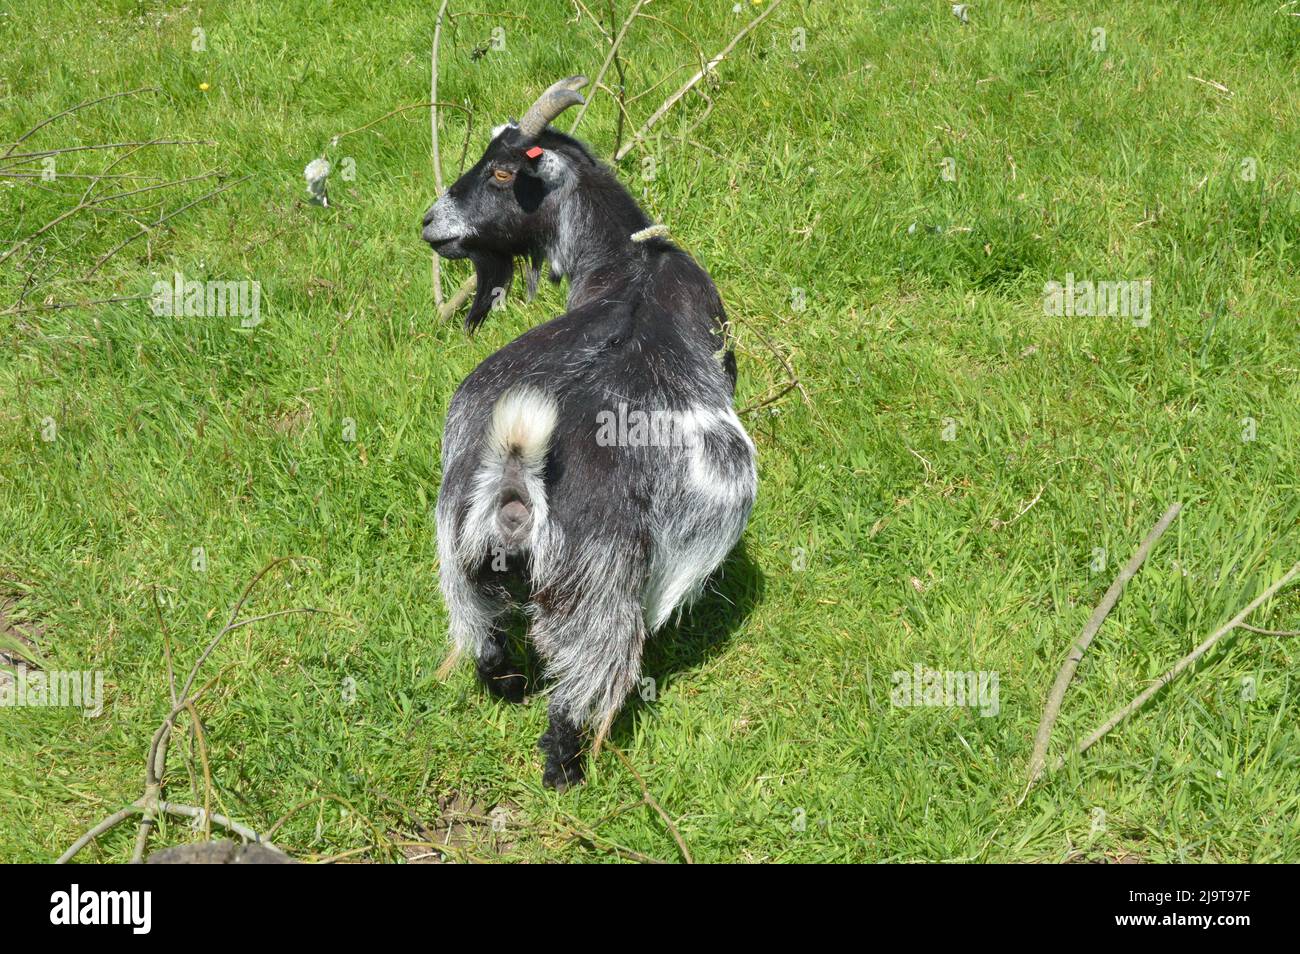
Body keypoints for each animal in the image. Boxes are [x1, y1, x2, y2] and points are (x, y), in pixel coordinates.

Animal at [422, 76, 757, 789]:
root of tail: (515, 486)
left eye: (500, 169)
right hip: (599, 591)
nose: (431, 224)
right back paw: (568, 770)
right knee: (581, 687)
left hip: (458, 558)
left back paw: (508, 687)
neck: (633, 265)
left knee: (487, 647)